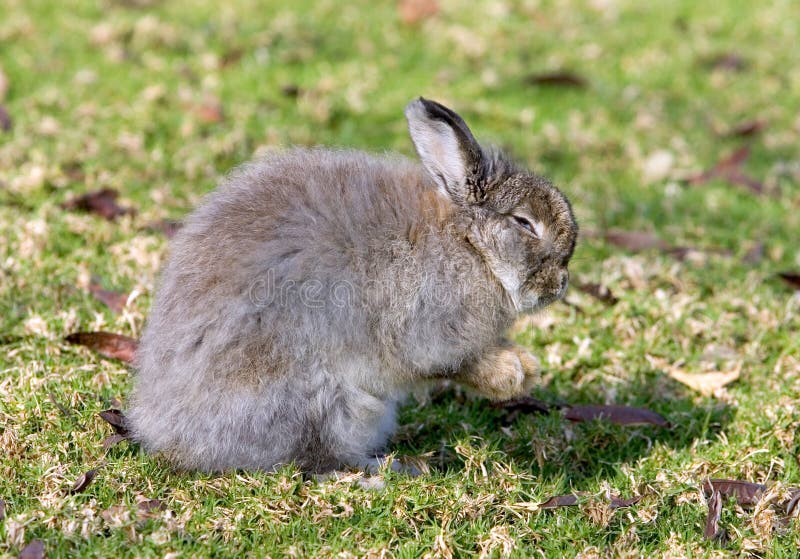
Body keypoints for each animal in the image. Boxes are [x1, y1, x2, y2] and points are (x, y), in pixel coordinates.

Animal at [127, 97, 578, 474]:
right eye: (524, 223)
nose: (559, 284)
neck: (470, 245)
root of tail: (169, 433)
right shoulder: (427, 327)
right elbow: (451, 363)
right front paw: (514, 373)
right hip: (321, 401)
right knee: (317, 459)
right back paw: (391, 470)